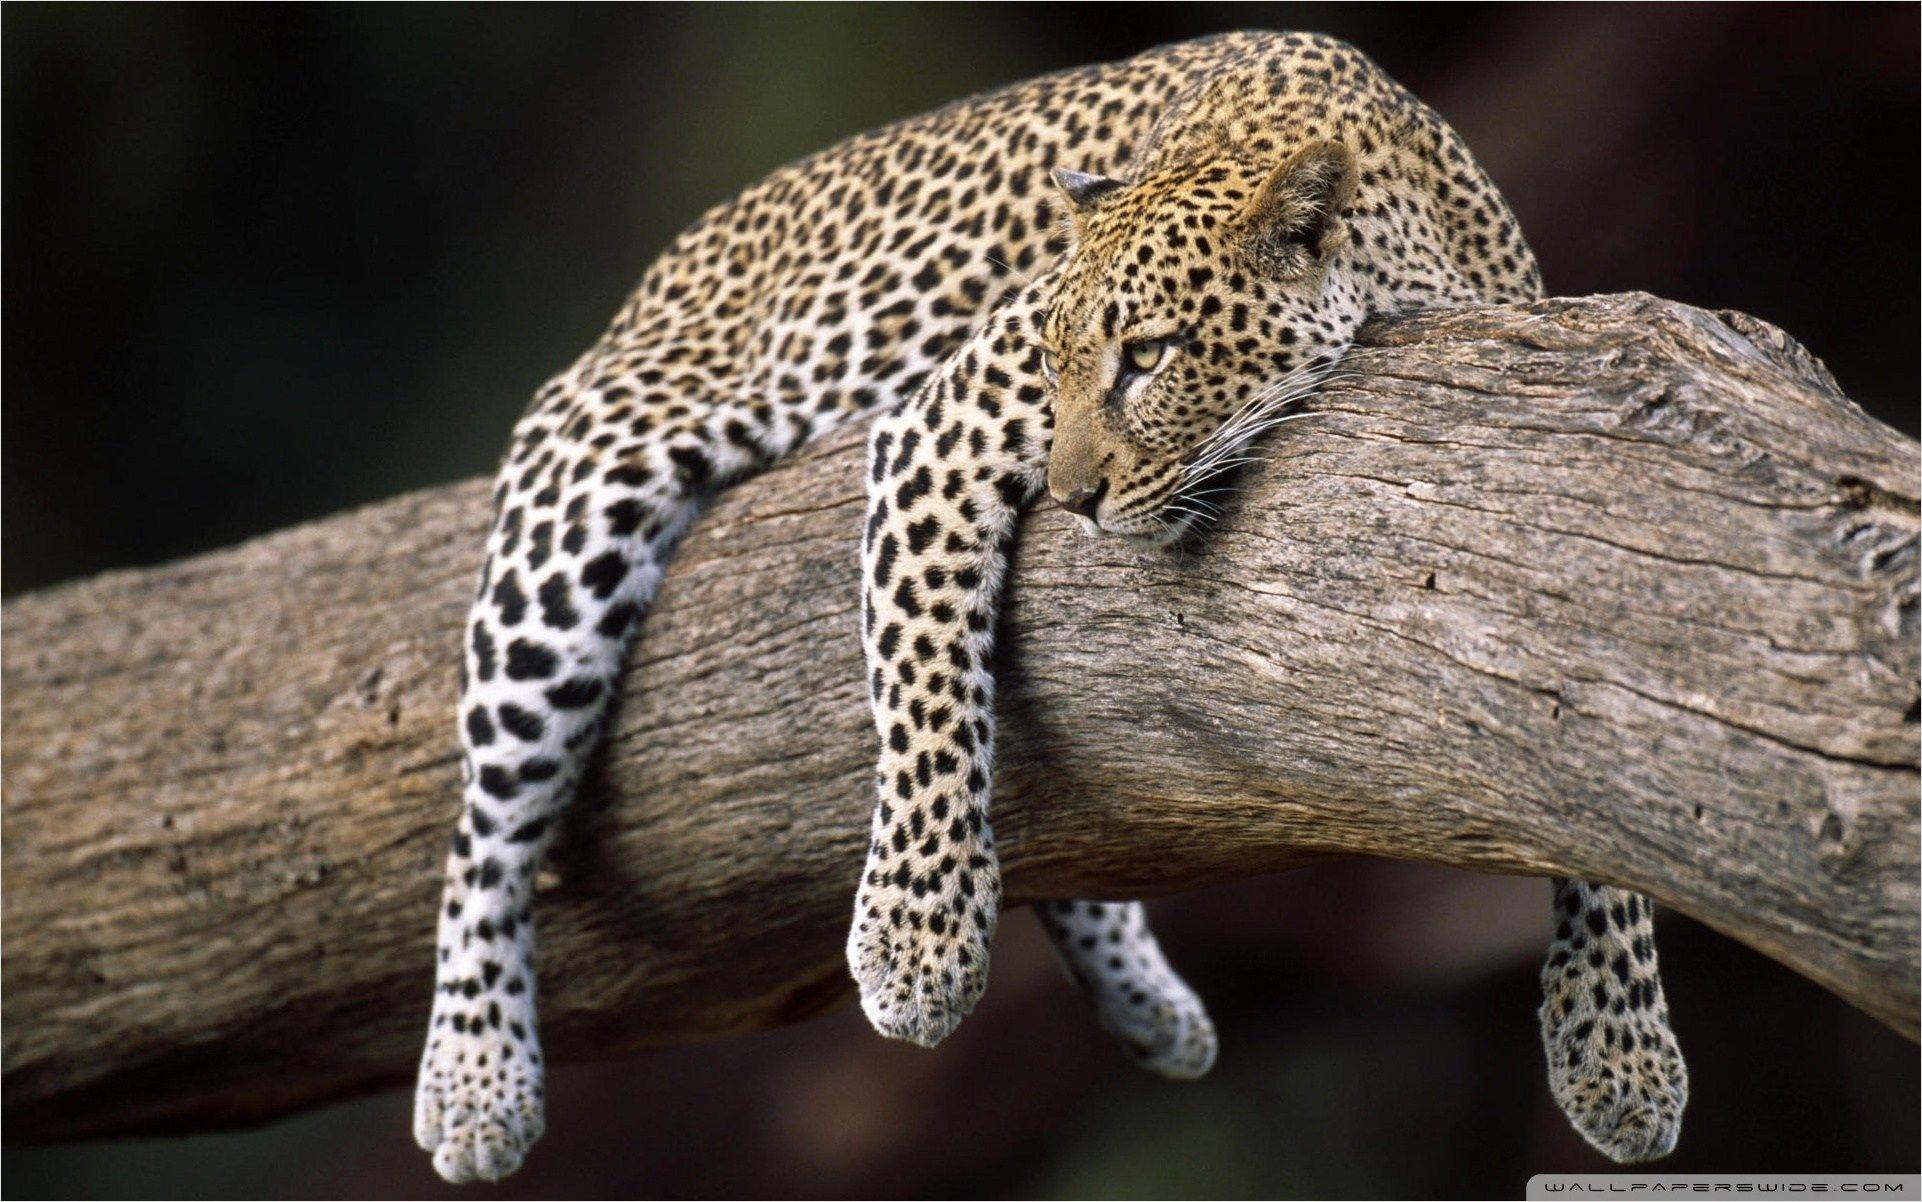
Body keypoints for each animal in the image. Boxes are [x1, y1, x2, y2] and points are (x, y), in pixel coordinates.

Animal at [414, 30, 1687, 1185]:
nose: (1072, 497)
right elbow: (928, 680)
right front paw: (916, 941)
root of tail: (664, 265)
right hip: (574, 513)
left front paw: (1617, 1049)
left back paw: (1146, 1003)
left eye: (1148, 356)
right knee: (486, 823)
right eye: (1051, 359)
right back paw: (474, 1080)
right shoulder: (935, 427)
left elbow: (1596, 775)